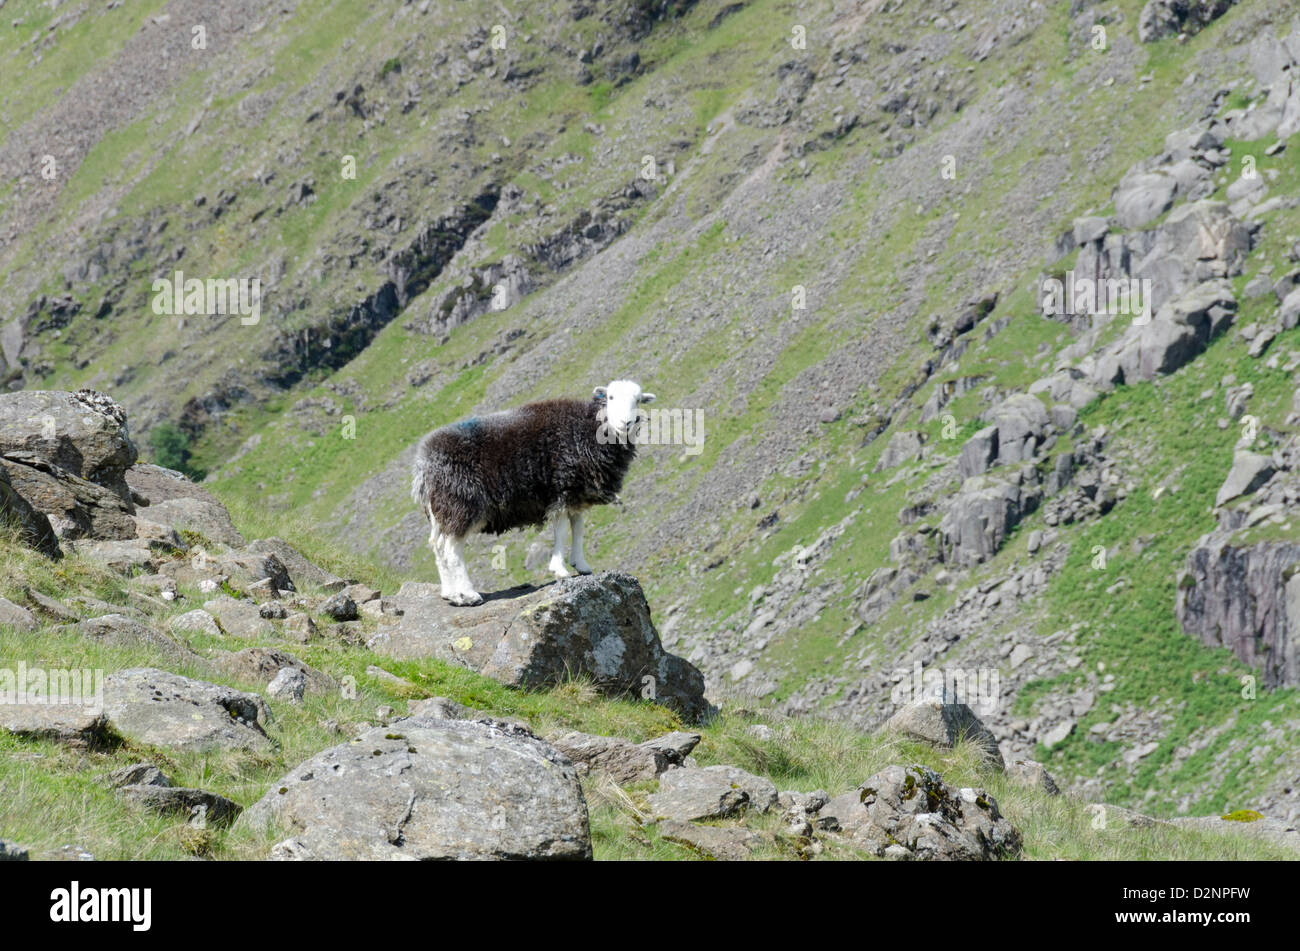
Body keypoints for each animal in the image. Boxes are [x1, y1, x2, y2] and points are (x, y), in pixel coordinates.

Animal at [410, 379, 656, 605]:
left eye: (638, 400)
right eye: (611, 397)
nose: (626, 422)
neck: (589, 429)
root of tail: (424, 464)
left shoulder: (575, 496)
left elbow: (578, 530)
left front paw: (581, 565)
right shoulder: (561, 491)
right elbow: (562, 531)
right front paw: (560, 569)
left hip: (441, 511)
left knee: (438, 547)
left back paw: (451, 594)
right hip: (461, 503)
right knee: (452, 551)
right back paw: (468, 595)